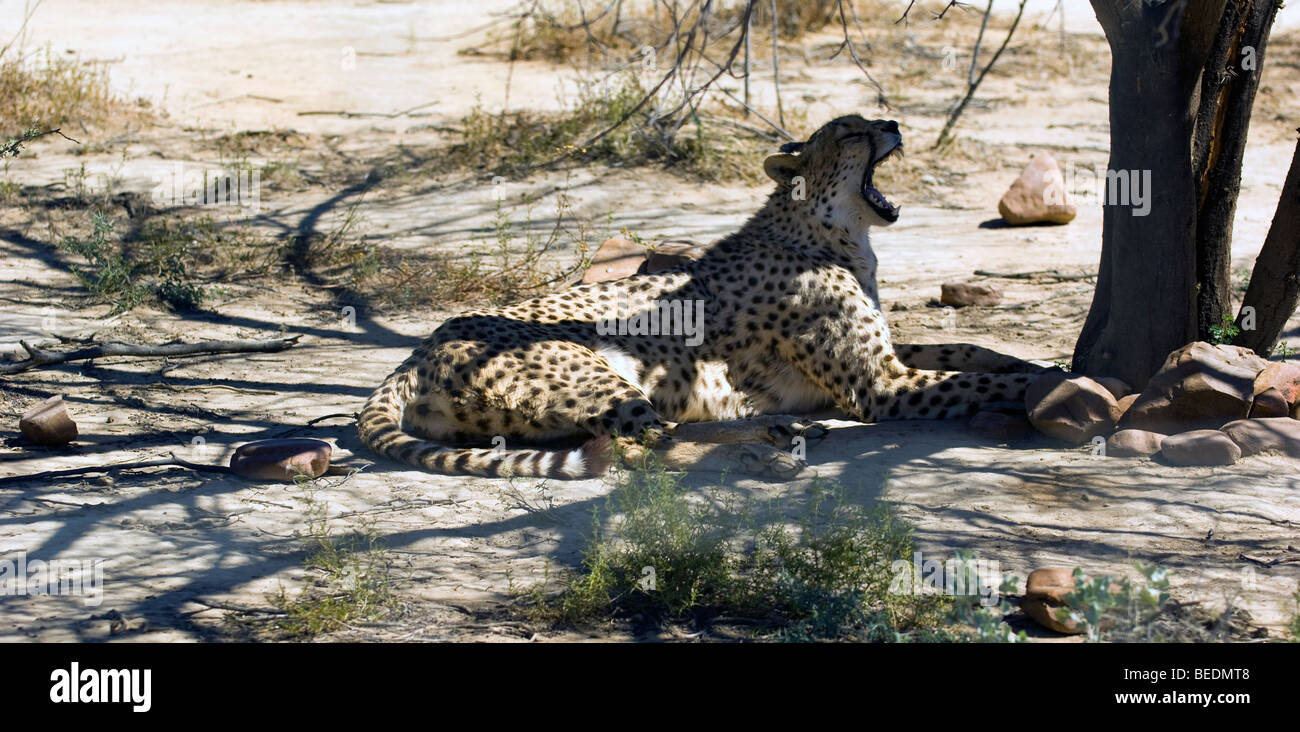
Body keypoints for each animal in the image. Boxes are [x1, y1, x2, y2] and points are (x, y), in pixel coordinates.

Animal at [358, 114, 1043, 481]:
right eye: (852, 132)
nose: (894, 124)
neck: (835, 233)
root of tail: (418, 350)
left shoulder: (891, 359)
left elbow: (969, 351)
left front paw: (1036, 363)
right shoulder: (877, 387)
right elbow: (975, 383)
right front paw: (1052, 385)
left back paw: (780, 430)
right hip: (602, 373)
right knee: (653, 444)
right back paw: (767, 450)